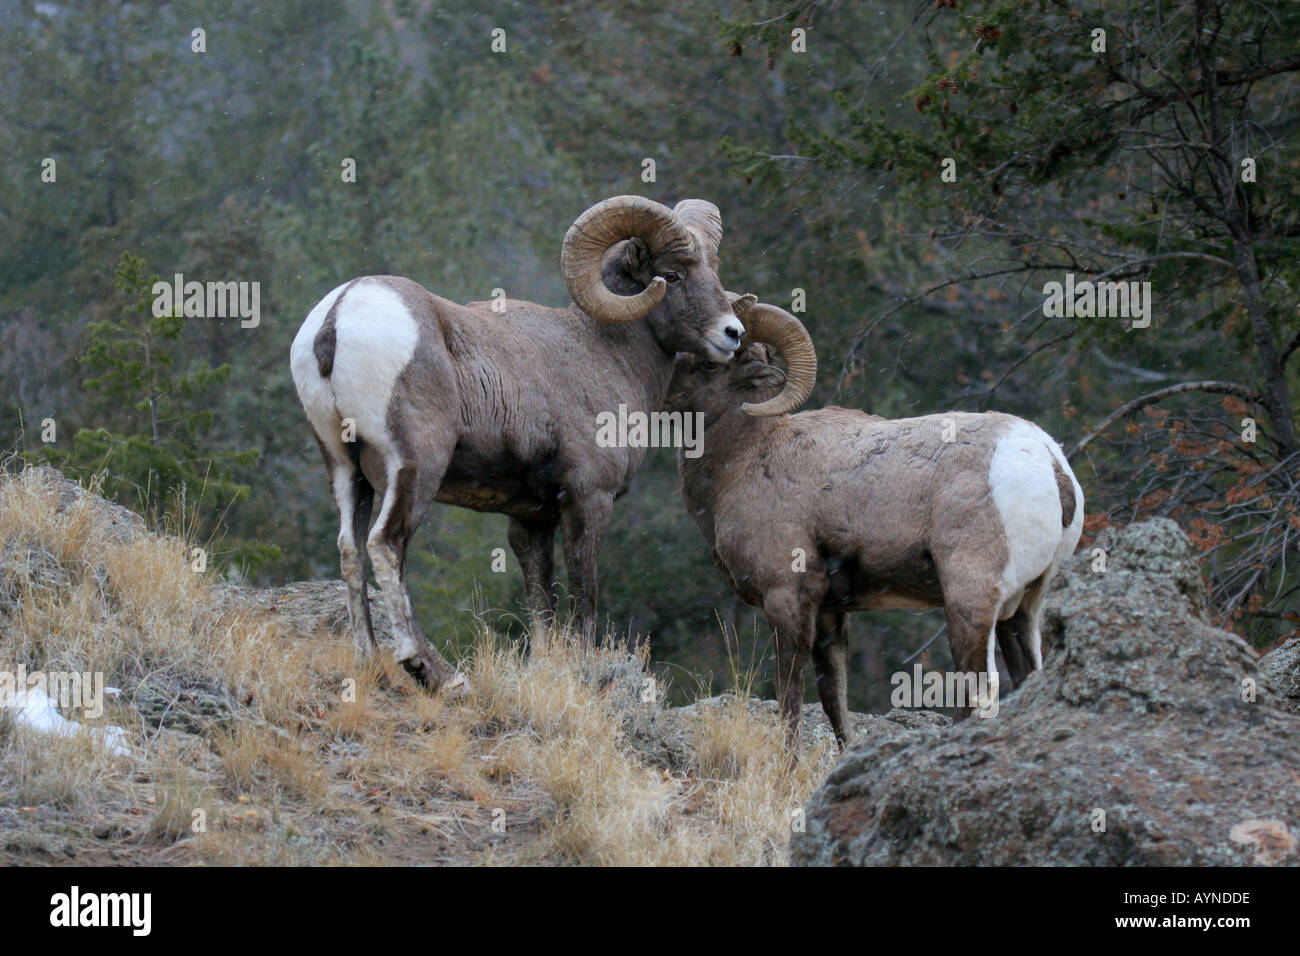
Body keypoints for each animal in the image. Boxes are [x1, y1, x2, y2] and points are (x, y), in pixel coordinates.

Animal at [289, 196, 749, 693]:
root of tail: (338, 315)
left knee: (351, 551)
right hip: (415, 465)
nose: (733, 333)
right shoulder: (588, 499)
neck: (604, 353)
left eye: (713, 270)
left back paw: (371, 664)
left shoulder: (531, 518)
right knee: (386, 544)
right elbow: (583, 592)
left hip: (345, 468)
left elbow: (541, 601)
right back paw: (434, 672)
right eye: (674, 274)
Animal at [665, 298, 1084, 746]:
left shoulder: (786, 598)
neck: (747, 456)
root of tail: (1046, 459)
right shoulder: (829, 613)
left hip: (970, 602)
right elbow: (834, 700)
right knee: (1026, 674)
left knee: (980, 690)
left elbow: (790, 697)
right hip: (1023, 608)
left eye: (709, 364)